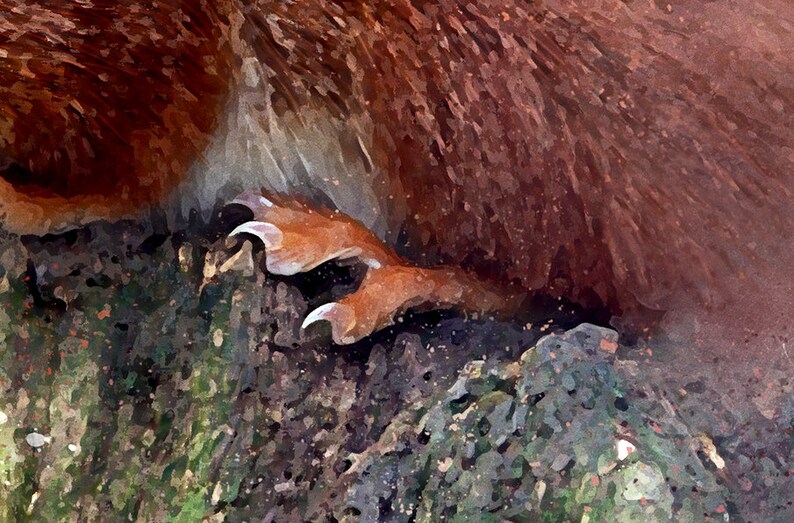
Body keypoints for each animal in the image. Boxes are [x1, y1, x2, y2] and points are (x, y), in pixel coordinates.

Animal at [1, 1, 793, 349]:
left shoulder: (142, 51)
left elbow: (130, 164)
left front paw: (24, 201)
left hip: (477, 93)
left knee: (587, 283)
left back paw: (386, 267)